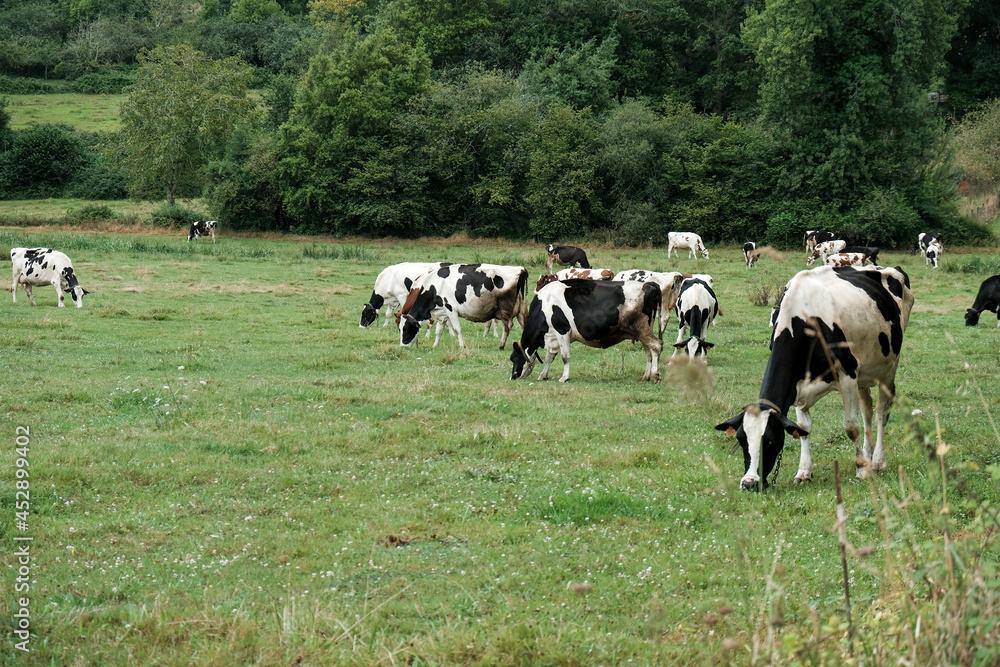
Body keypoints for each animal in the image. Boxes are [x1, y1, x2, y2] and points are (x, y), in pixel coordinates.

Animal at [398, 263, 528, 350]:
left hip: (505, 308)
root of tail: (520, 269)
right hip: (521, 308)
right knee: (525, 324)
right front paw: (435, 345)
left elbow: (457, 329)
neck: (433, 287)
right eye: (399, 328)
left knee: (507, 326)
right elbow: (439, 331)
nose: (402, 345)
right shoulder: (442, 312)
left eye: (406, 329)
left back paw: (501, 345)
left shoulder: (451, 310)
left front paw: (462, 346)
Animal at [509, 279, 662, 383]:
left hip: (642, 329)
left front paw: (564, 377)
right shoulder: (552, 336)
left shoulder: (562, 330)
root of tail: (649, 284)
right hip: (642, 331)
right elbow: (549, 357)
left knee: (656, 346)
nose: (512, 377)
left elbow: (565, 356)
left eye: (513, 358)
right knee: (648, 352)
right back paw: (645, 376)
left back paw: (655, 375)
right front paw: (543, 375)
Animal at [715, 264, 914, 490]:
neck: (802, 321)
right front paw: (804, 471)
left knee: (882, 412)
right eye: (741, 440)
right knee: (867, 411)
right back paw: (868, 456)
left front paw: (861, 470)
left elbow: (851, 426)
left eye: (770, 441)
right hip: (864, 373)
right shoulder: (799, 384)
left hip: (888, 369)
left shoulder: (847, 376)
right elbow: (804, 429)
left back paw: (878, 462)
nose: (749, 483)